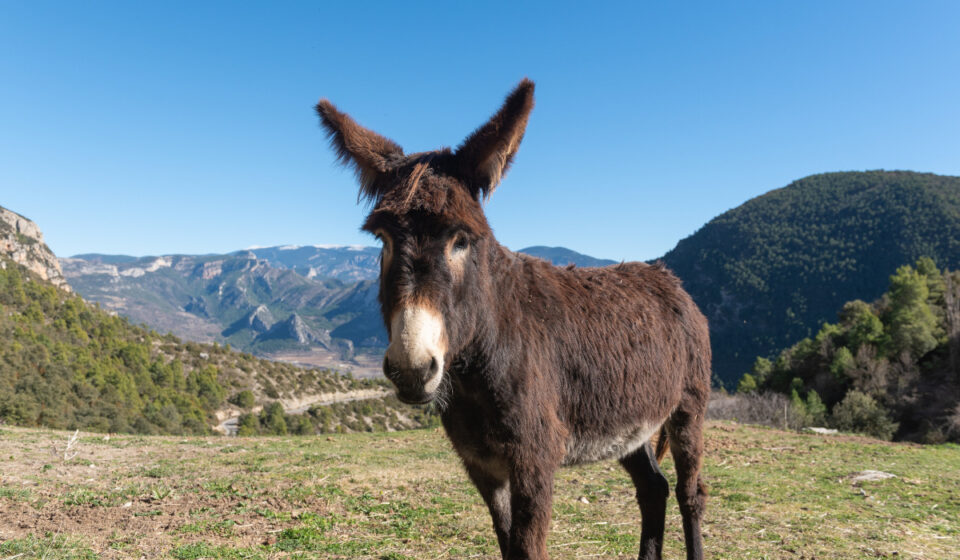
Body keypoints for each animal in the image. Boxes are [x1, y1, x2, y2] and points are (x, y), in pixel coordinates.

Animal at [316, 79, 711, 560]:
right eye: (383, 240)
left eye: (462, 240)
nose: (411, 369)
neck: (478, 362)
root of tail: (668, 278)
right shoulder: (482, 467)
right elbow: (507, 543)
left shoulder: (535, 461)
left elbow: (527, 548)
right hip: (629, 421)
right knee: (653, 489)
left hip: (688, 407)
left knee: (690, 493)